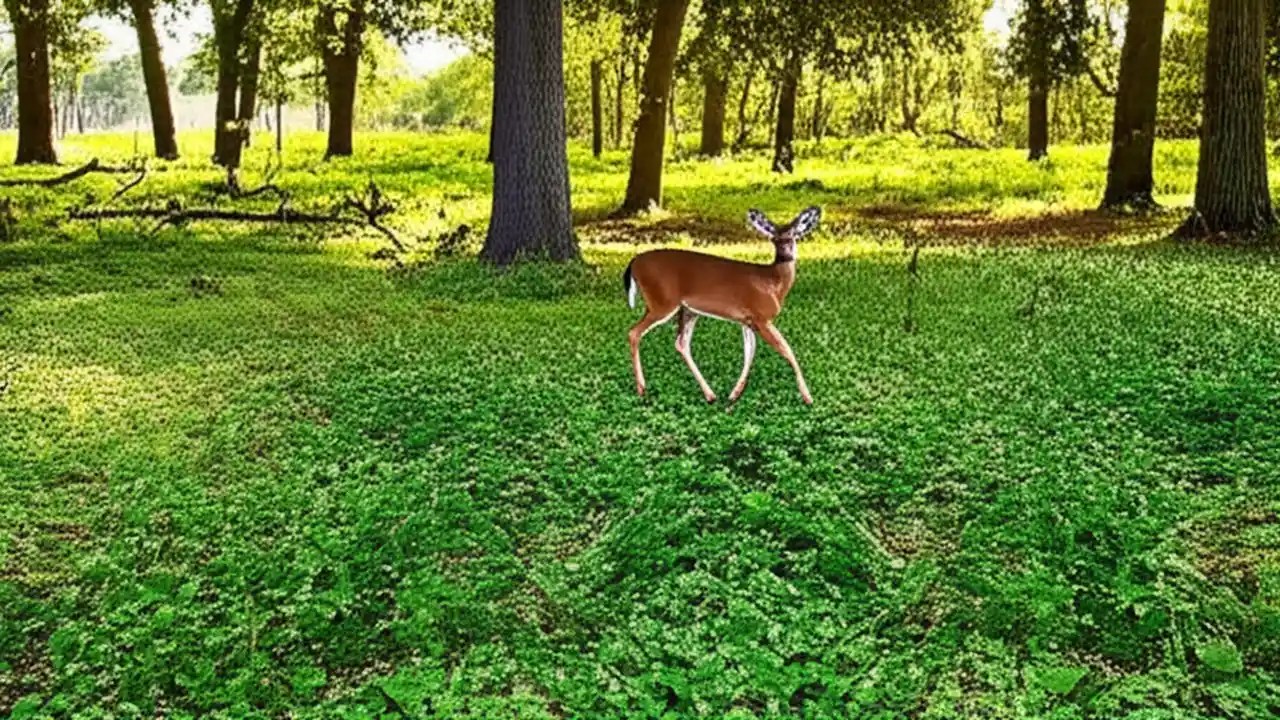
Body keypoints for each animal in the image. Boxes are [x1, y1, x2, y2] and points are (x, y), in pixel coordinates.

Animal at [622, 206, 821, 405]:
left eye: (794, 236)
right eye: (774, 239)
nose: (786, 254)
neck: (773, 284)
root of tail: (633, 263)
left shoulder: (747, 320)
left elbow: (750, 352)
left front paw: (734, 394)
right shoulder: (761, 316)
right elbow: (787, 350)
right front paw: (808, 397)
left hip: (687, 309)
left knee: (681, 342)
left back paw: (710, 395)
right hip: (662, 301)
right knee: (634, 332)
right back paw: (642, 389)